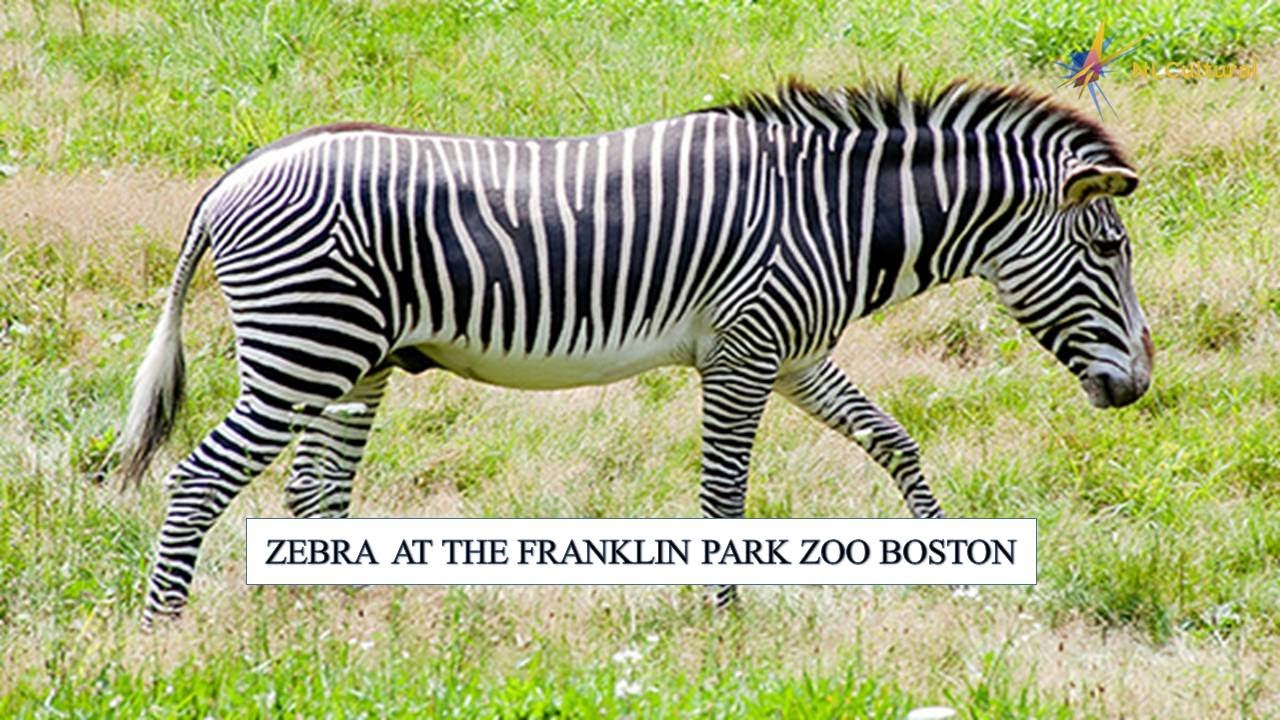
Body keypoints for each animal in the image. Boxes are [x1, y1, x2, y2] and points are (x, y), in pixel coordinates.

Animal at [116, 79, 1152, 625]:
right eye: (1111, 250)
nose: (1139, 388)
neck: (832, 217)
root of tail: (236, 175)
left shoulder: (794, 354)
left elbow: (893, 441)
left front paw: (957, 571)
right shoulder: (743, 350)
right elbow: (724, 495)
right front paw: (724, 615)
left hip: (355, 362)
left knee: (313, 492)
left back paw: (338, 615)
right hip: (308, 348)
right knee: (201, 479)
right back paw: (166, 631)